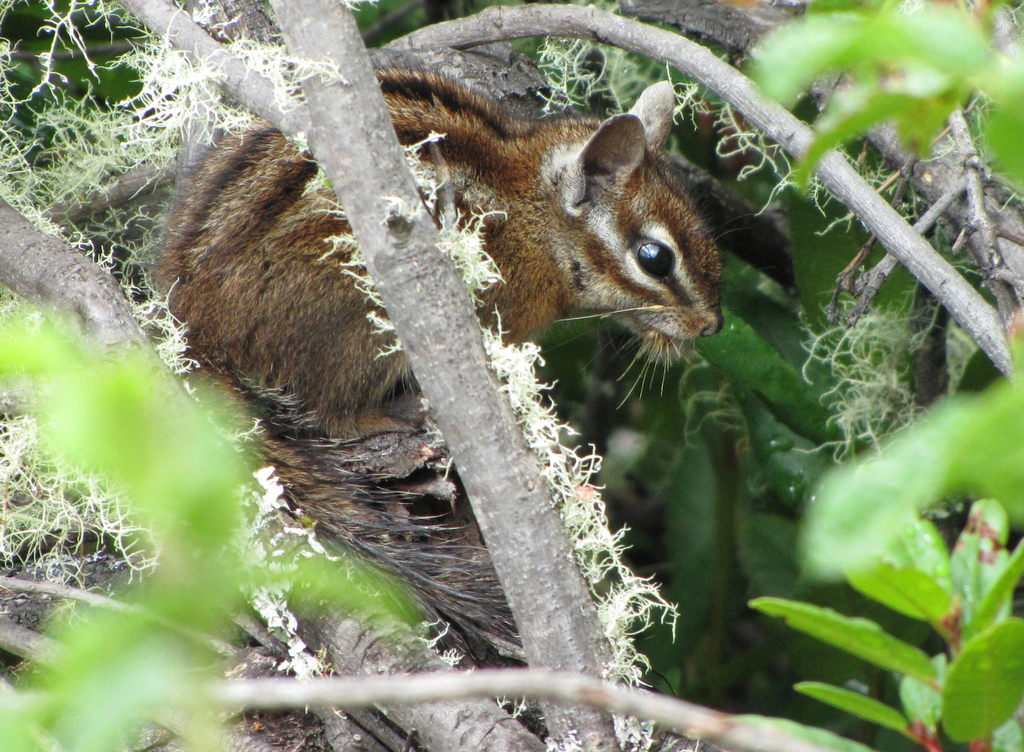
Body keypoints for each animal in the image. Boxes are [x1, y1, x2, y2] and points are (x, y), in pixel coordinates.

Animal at [158, 69, 723, 660]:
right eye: (655, 258)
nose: (712, 324)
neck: (534, 213)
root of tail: (196, 326)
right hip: (357, 322)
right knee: (330, 414)